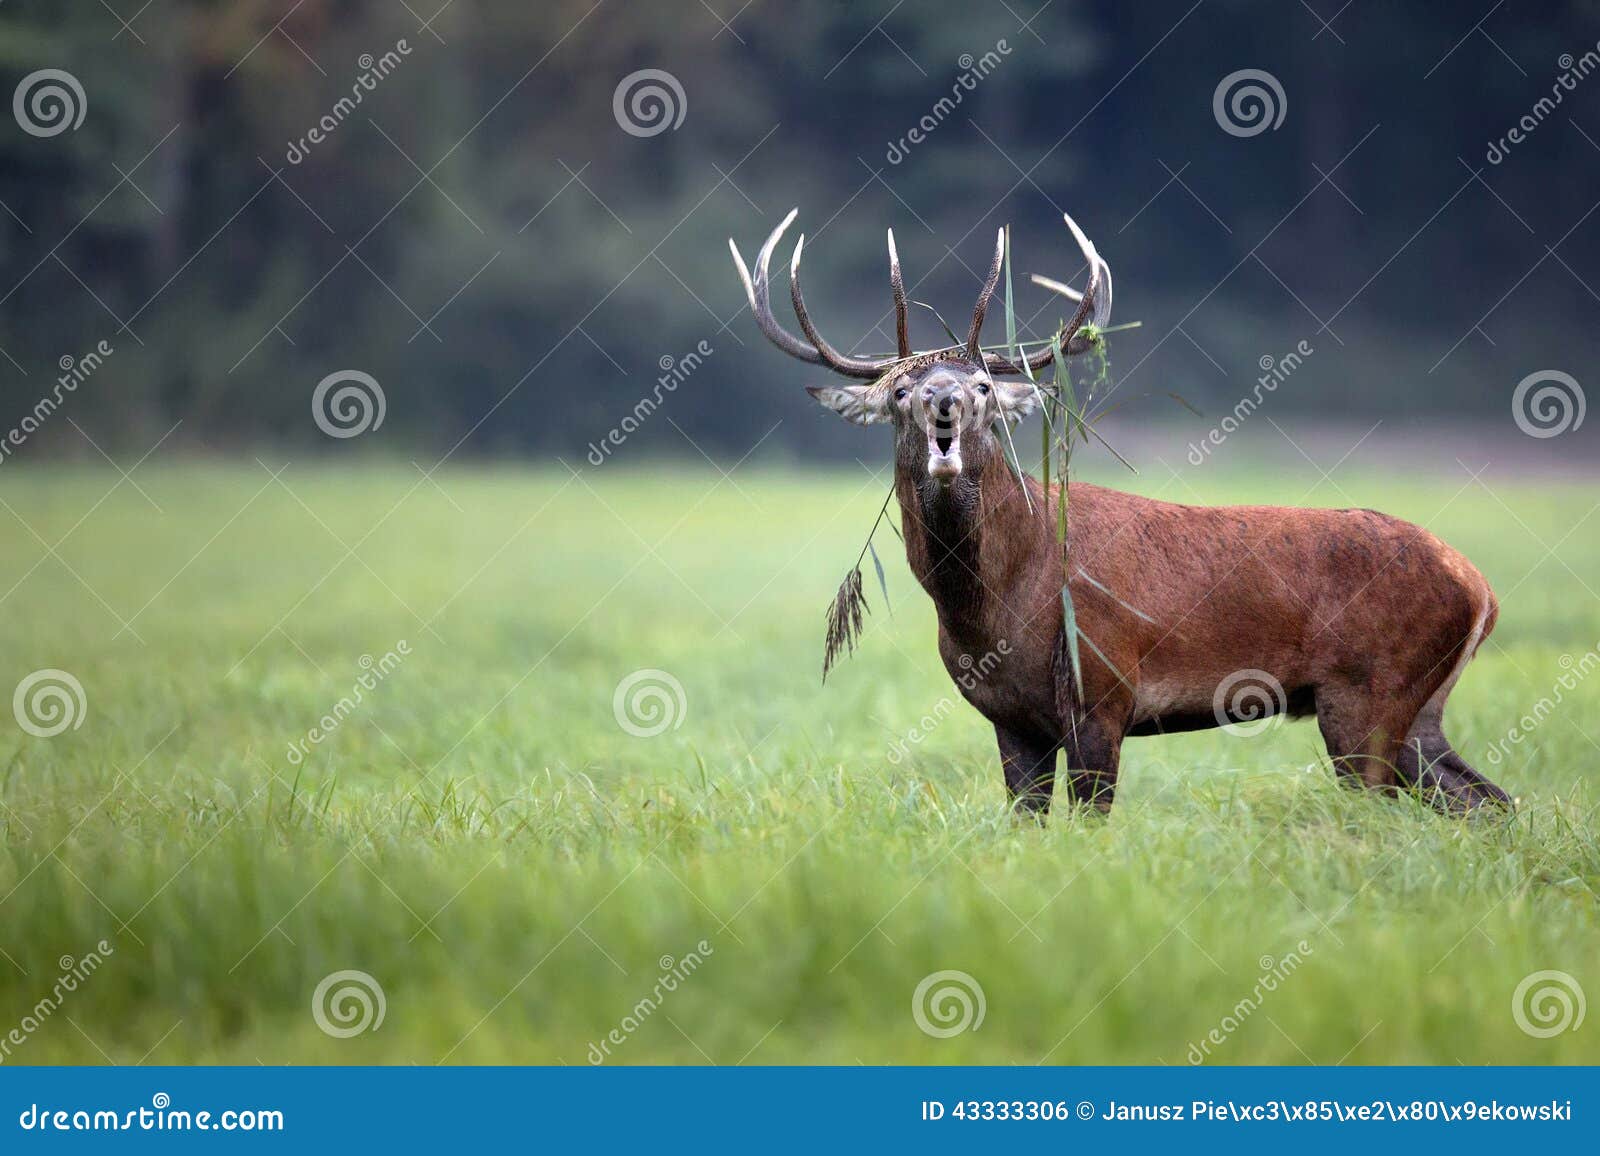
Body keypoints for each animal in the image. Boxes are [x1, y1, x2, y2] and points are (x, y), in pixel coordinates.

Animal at [728, 209, 1513, 819]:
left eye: (982, 385)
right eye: (898, 390)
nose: (942, 399)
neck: (993, 606)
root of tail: (1480, 587)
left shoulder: (1105, 687)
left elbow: (1093, 819)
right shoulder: (1011, 720)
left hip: (1368, 691)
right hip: (1417, 708)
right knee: (1487, 801)